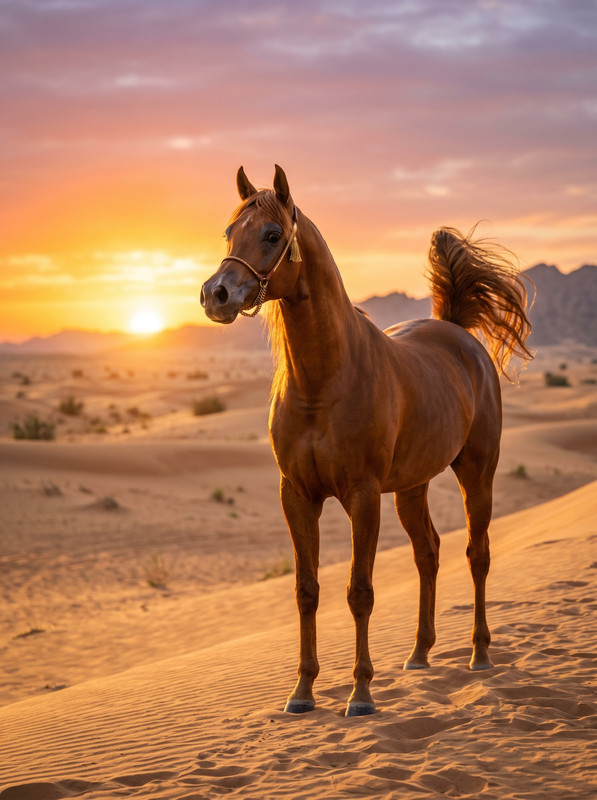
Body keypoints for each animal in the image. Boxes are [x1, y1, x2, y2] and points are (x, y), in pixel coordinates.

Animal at [200, 165, 533, 716]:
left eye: (271, 235)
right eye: (229, 233)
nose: (215, 295)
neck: (323, 381)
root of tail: (458, 333)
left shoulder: (362, 496)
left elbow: (360, 592)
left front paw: (360, 694)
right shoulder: (297, 496)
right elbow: (306, 590)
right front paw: (302, 693)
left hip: (475, 475)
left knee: (477, 553)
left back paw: (479, 655)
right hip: (412, 487)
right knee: (428, 553)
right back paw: (419, 655)